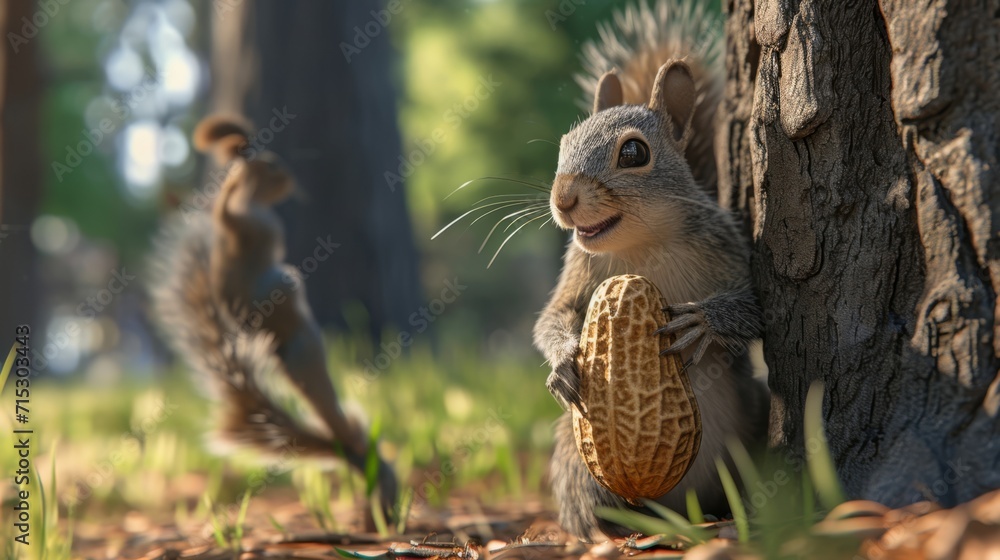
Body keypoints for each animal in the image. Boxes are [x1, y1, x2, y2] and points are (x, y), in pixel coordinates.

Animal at [149, 115, 398, 517]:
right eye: (274, 166)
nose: (292, 182)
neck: (250, 203)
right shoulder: (249, 226)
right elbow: (232, 215)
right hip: (290, 312)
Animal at [534, 1, 770, 541]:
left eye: (634, 152)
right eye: (564, 143)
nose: (563, 198)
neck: (642, 249)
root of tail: (683, 507)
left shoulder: (729, 247)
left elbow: (756, 308)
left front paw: (705, 322)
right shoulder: (580, 271)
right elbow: (552, 316)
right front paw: (563, 362)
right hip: (579, 460)